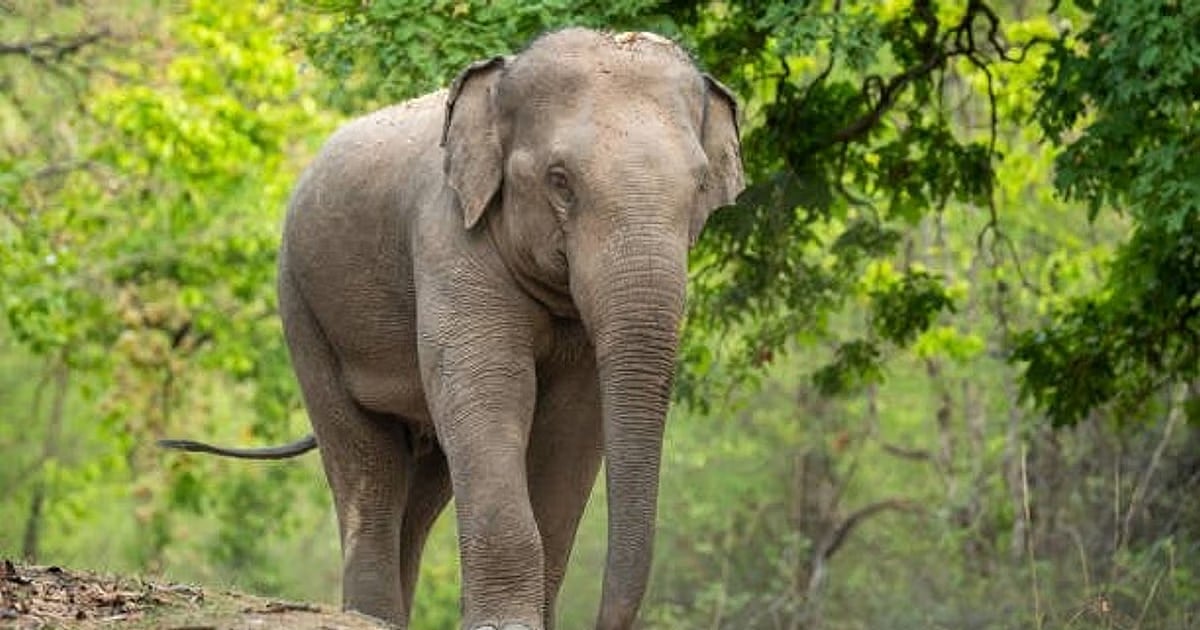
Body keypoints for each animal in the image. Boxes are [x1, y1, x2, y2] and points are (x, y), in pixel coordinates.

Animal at [161, 27, 744, 630]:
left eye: (701, 184)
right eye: (560, 181)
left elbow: (573, 421)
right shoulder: (447, 238)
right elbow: (490, 389)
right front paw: (507, 625)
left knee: (424, 484)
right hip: (301, 307)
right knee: (368, 465)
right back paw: (371, 616)